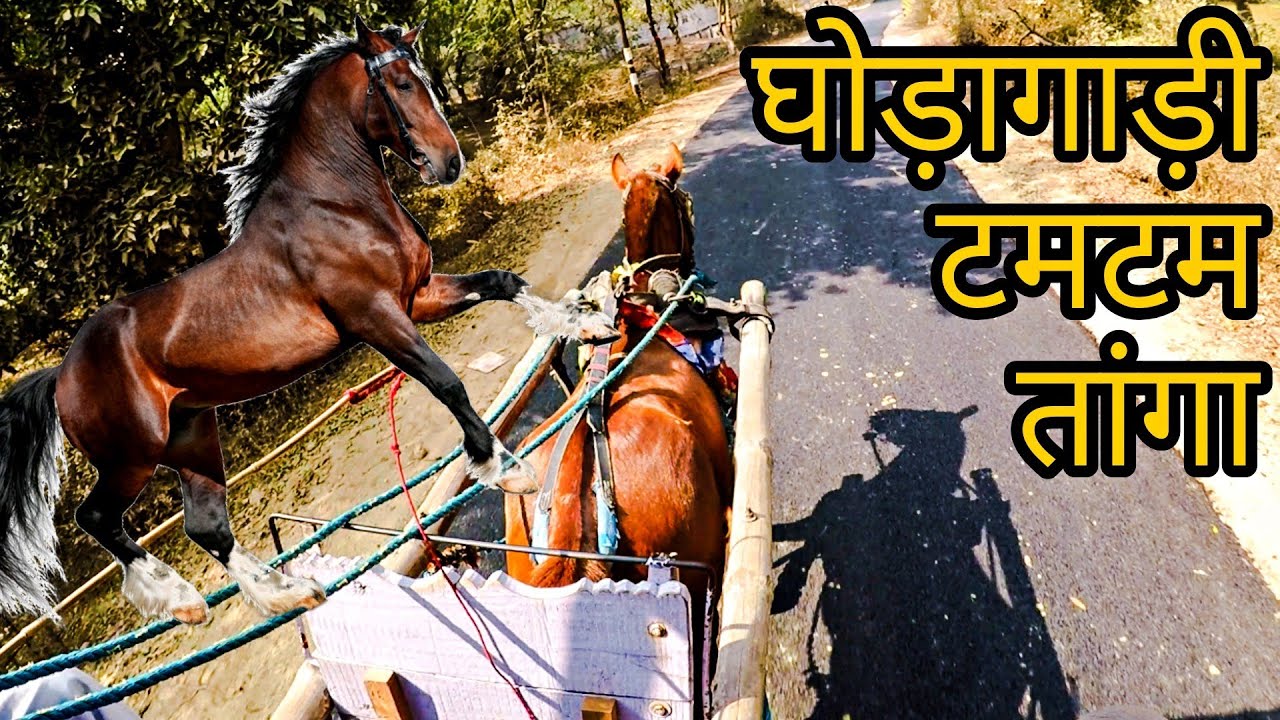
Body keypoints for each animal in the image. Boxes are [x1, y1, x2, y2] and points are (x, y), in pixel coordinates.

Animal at [0, 19, 584, 625]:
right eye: (401, 83)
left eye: (422, 78)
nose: (449, 163)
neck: (335, 206)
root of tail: (61, 374)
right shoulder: (377, 317)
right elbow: (447, 382)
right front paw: (503, 466)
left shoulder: (417, 297)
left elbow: (503, 282)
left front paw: (579, 321)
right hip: (131, 457)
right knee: (96, 519)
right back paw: (182, 599)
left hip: (192, 438)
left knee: (206, 527)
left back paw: (287, 592)